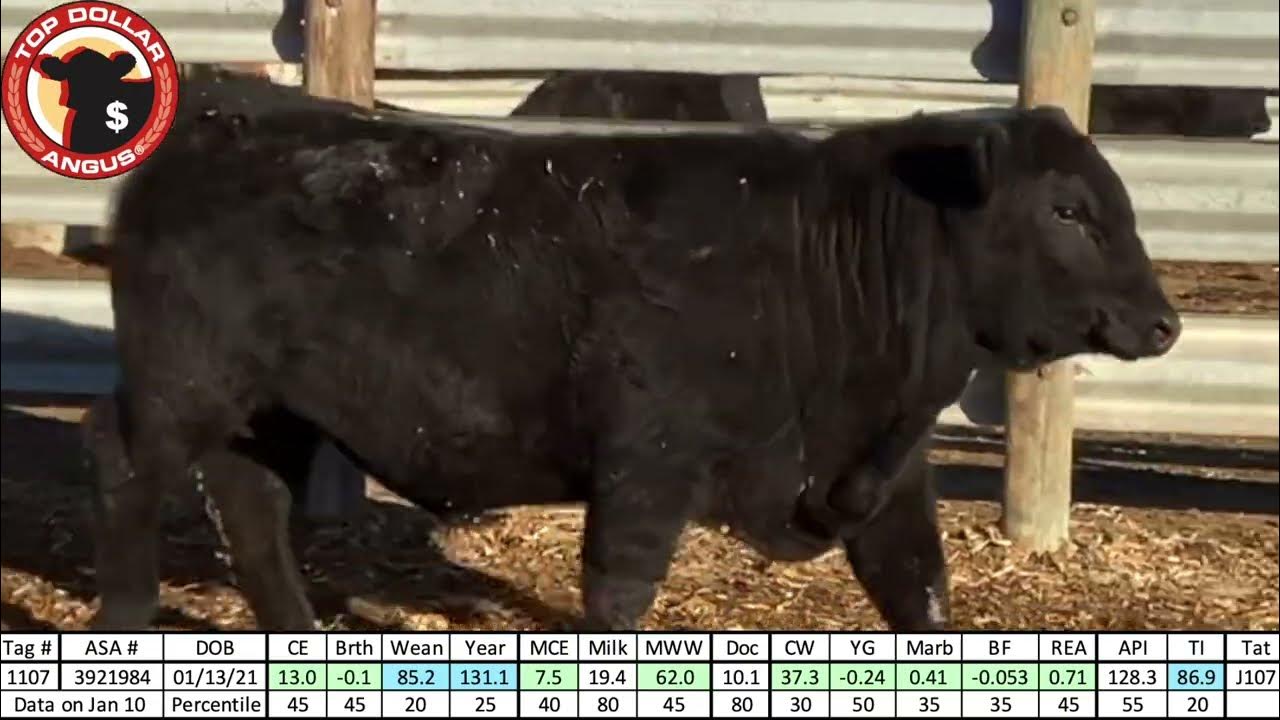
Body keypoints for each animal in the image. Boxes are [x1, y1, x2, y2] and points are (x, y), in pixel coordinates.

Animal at [85, 100, 1180, 632]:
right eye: (1067, 209)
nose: (1162, 322)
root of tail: (209, 132)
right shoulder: (646, 465)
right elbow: (618, 596)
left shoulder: (890, 479)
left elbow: (920, 592)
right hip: (180, 388)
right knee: (129, 472)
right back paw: (125, 614)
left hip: (268, 408)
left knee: (252, 507)